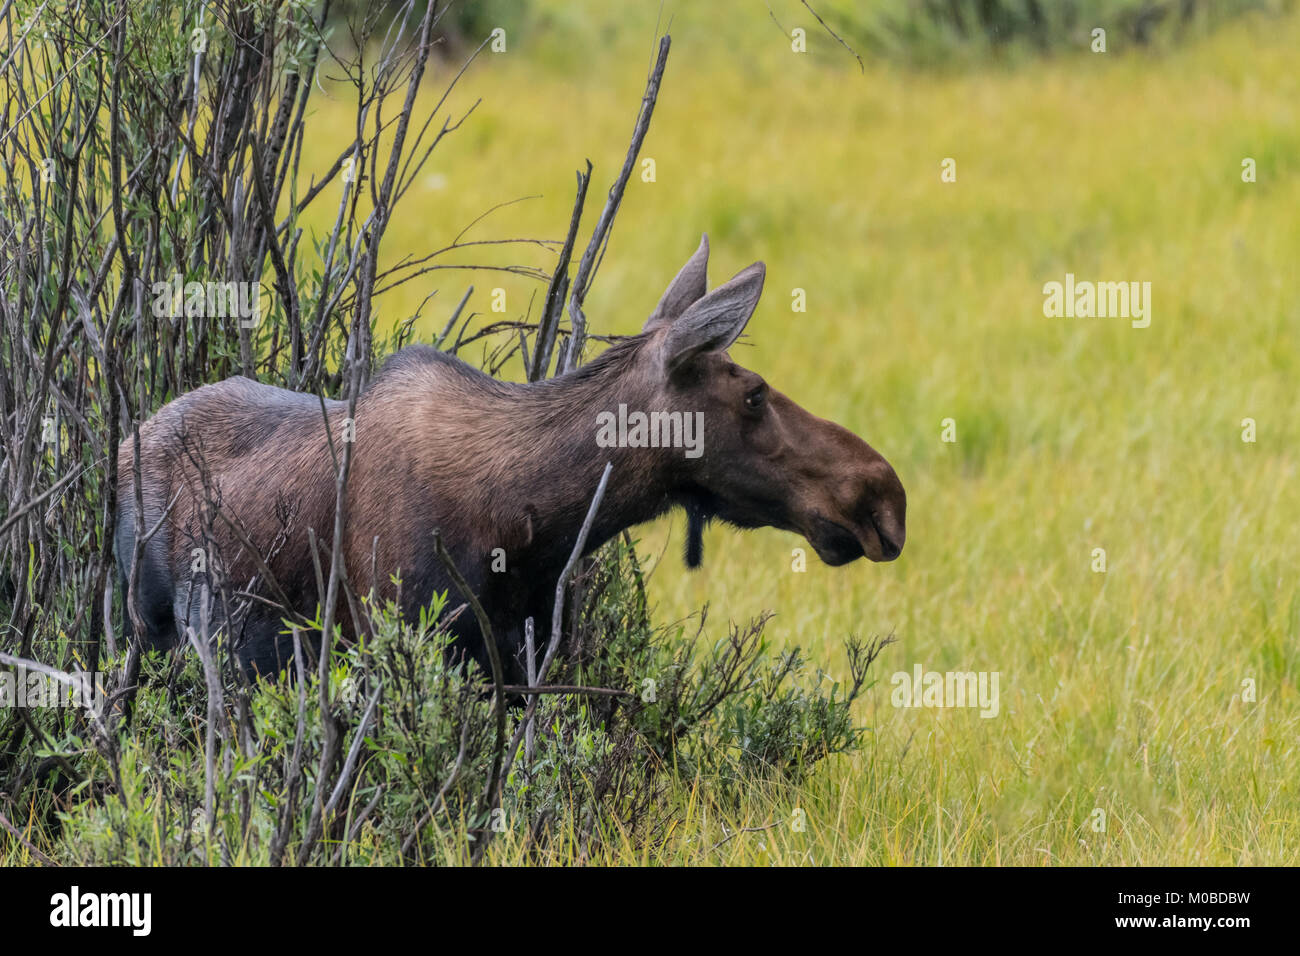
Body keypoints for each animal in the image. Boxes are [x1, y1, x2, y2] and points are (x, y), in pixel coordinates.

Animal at [115, 235, 906, 681]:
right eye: (753, 394)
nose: (883, 496)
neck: (534, 524)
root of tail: (126, 441)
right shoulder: (401, 640)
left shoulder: (523, 656)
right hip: (141, 629)